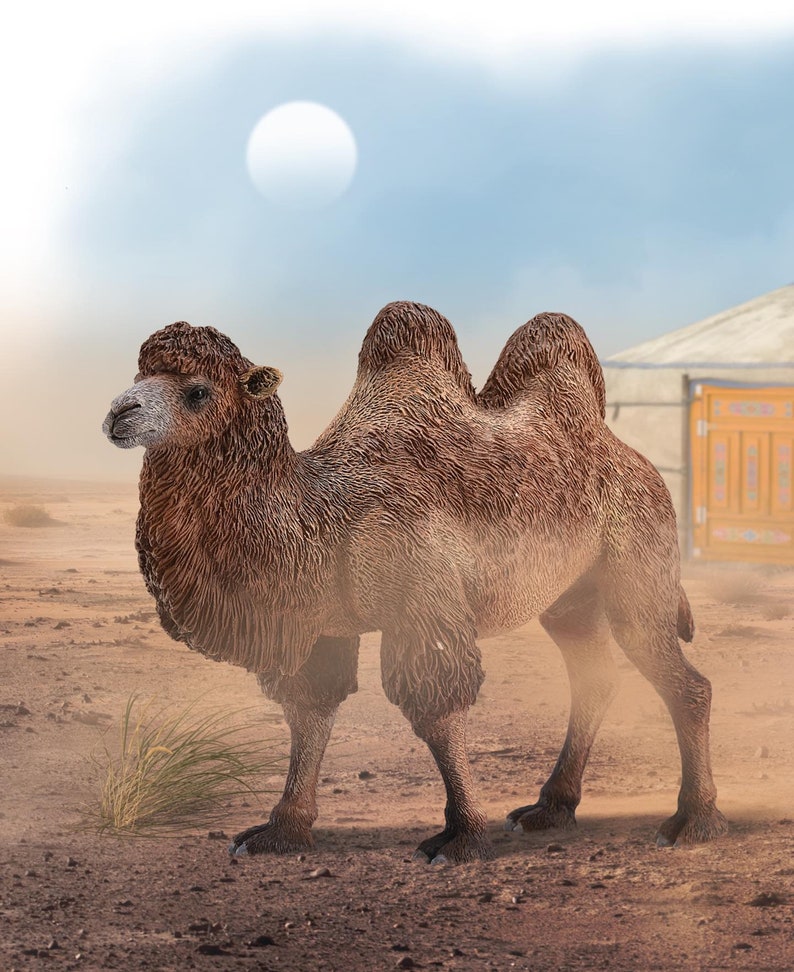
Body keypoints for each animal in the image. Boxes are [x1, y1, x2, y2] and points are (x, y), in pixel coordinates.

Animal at [102, 301, 727, 863]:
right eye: (137, 375)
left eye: (197, 390)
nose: (117, 414)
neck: (317, 520)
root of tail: (633, 458)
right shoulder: (323, 625)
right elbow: (310, 710)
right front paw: (282, 830)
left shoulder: (422, 602)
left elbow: (436, 712)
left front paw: (462, 837)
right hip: (569, 599)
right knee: (594, 677)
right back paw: (550, 808)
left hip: (638, 565)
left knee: (685, 683)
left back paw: (694, 821)